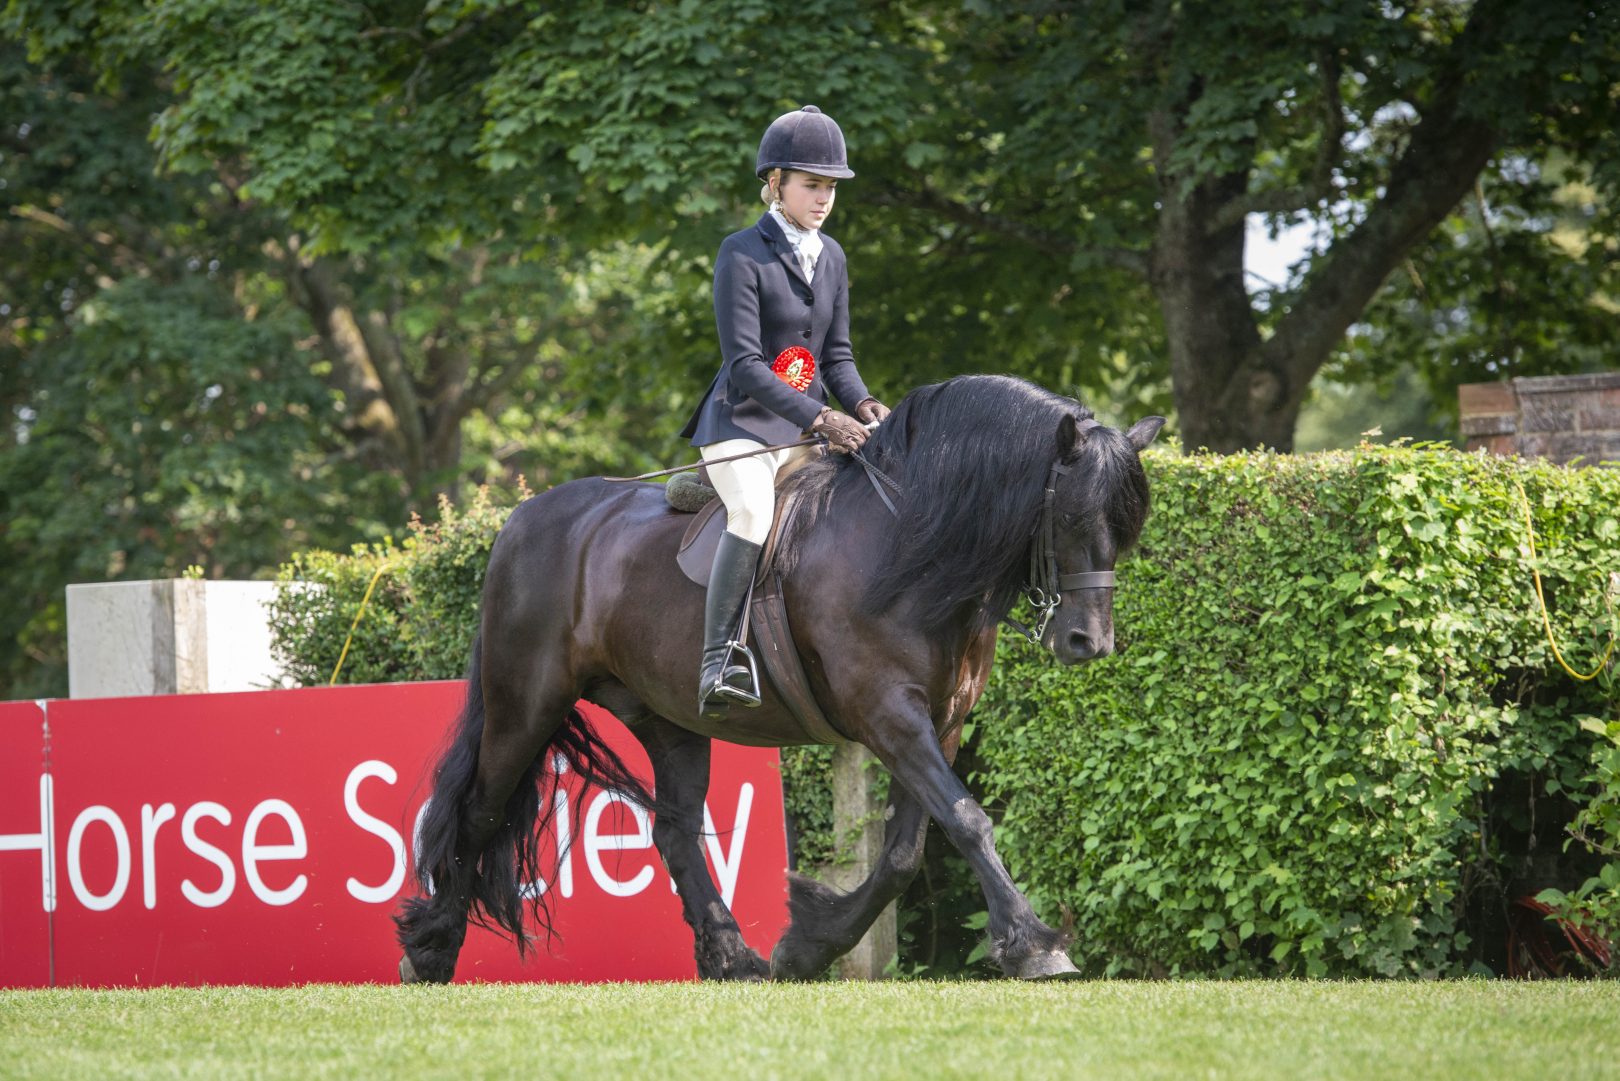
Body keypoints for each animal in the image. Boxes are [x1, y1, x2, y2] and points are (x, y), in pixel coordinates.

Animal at [395, 373, 1164, 982]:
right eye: (1069, 516)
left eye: (1126, 529)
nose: (1088, 642)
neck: (910, 547)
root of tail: (521, 519)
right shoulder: (888, 713)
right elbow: (967, 821)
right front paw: (1033, 944)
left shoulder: (938, 721)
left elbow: (905, 851)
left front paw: (810, 944)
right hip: (526, 700)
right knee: (480, 809)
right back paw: (430, 949)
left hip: (667, 718)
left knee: (676, 831)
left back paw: (732, 956)